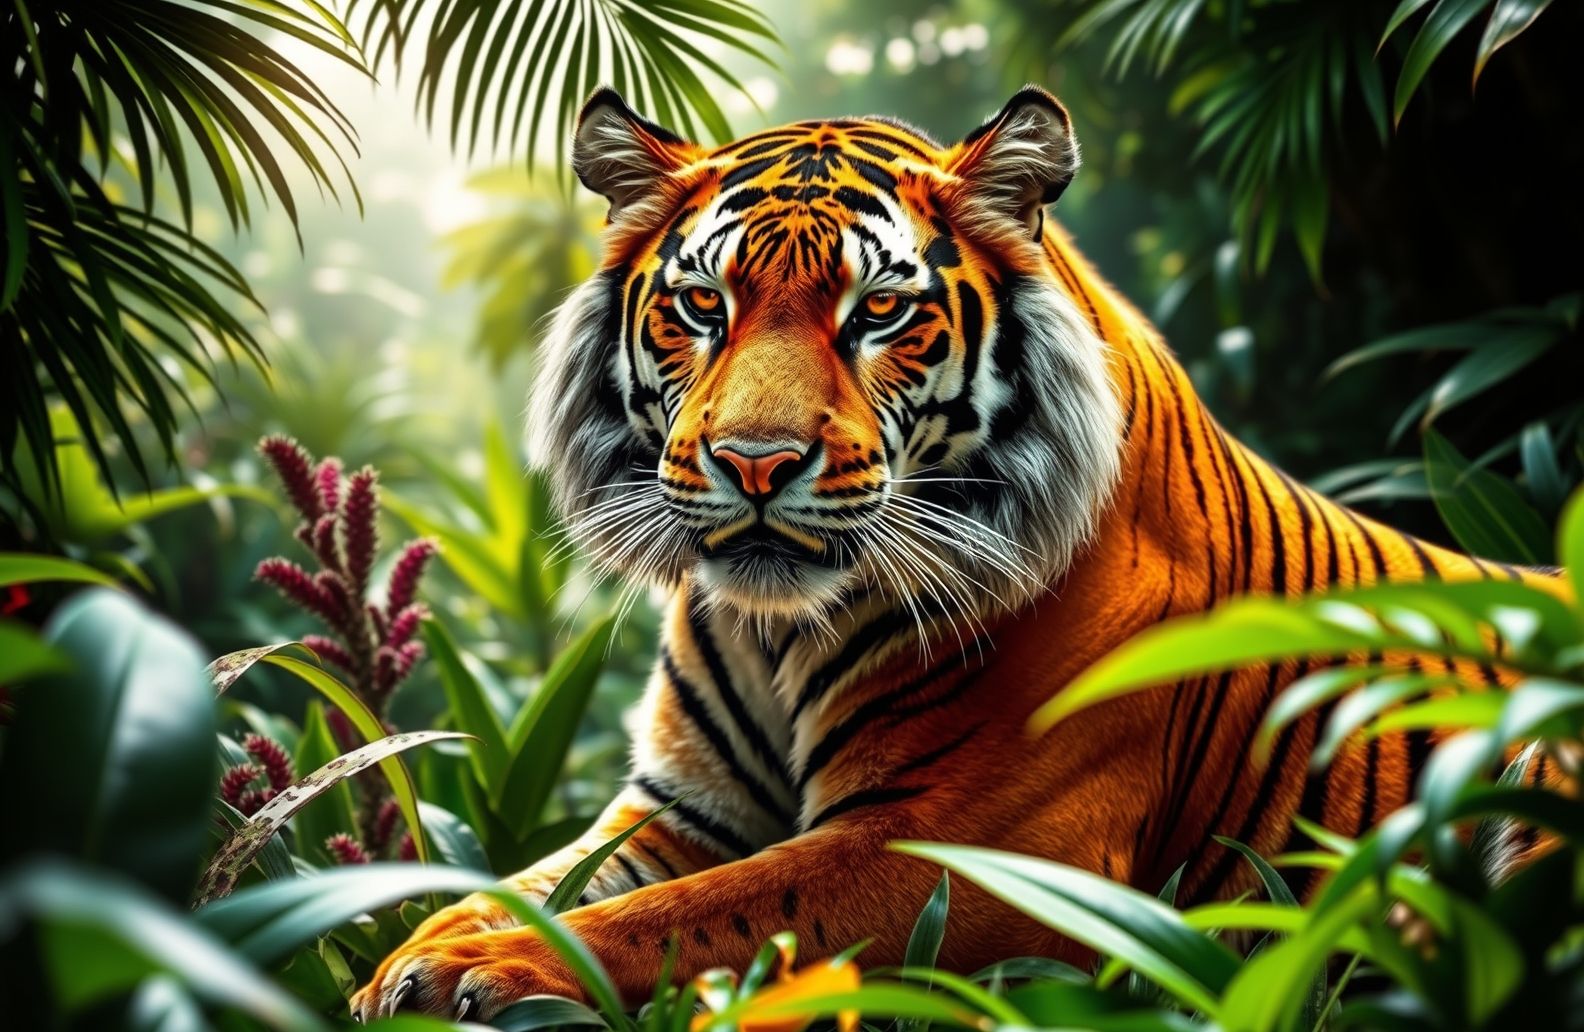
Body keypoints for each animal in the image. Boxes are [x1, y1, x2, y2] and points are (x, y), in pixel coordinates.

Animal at [352, 85, 1566, 1021]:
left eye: (879, 313)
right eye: (702, 305)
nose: (755, 462)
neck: (776, 632)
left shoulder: (976, 850)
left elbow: (687, 915)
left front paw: (475, 970)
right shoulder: (677, 807)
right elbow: (528, 883)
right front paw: (409, 957)